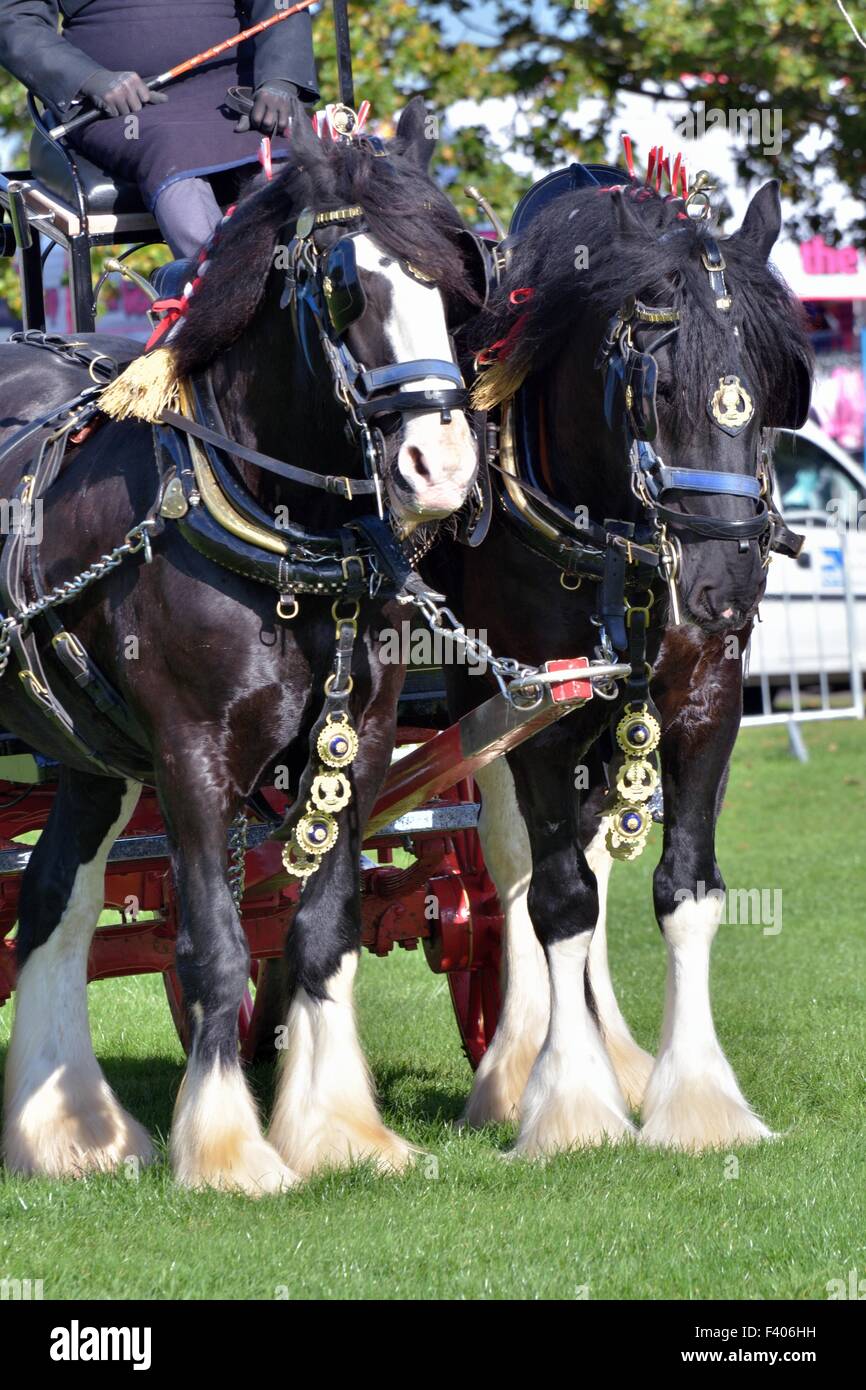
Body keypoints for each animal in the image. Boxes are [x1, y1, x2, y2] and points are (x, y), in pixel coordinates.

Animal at [0, 97, 480, 1192]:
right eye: (347, 286)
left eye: (457, 284)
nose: (441, 469)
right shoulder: (190, 752)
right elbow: (212, 947)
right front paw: (227, 1149)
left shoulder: (362, 741)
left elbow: (318, 932)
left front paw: (341, 1129)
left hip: (84, 749)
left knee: (51, 904)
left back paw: (67, 1130)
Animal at [429, 175, 812, 1154]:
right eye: (659, 387)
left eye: (766, 390)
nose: (726, 585)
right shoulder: (539, 706)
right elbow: (557, 898)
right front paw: (567, 1103)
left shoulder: (708, 699)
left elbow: (684, 889)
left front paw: (696, 1100)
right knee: (517, 861)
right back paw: (515, 1068)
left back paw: (615, 1054)